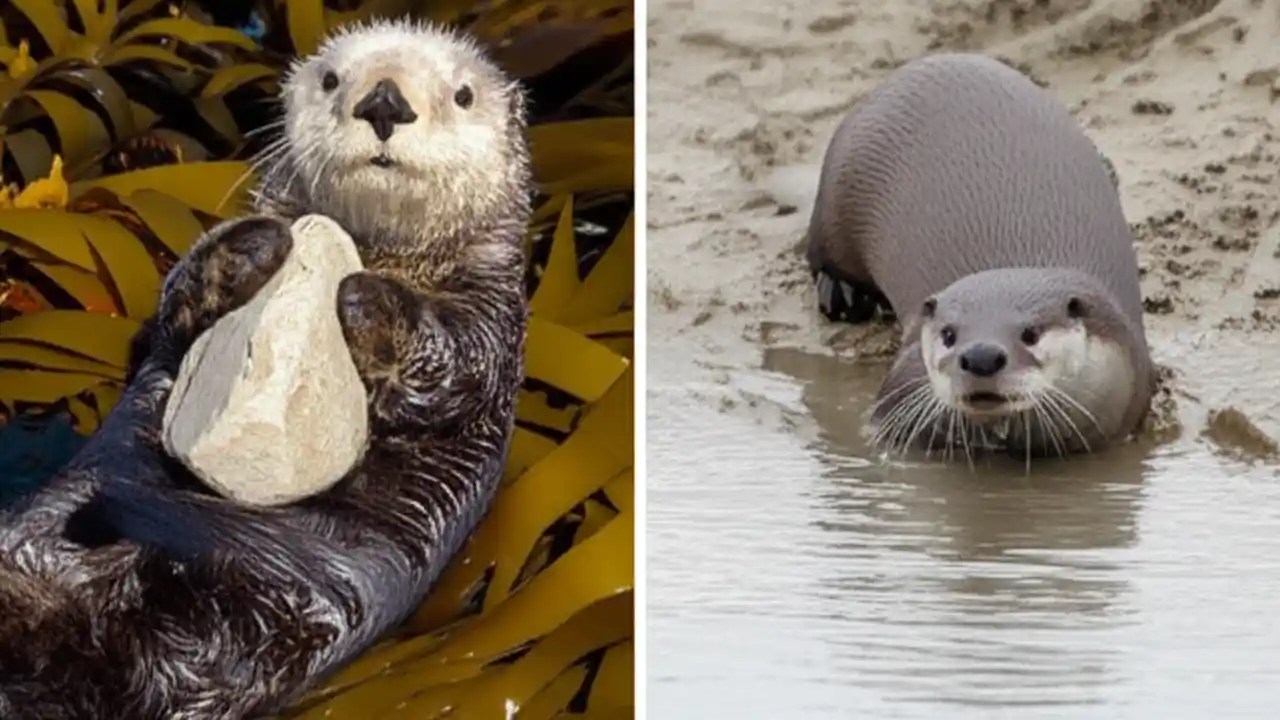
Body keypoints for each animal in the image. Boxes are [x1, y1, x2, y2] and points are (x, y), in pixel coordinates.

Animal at [0, 18, 532, 718]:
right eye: (331, 79)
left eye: (464, 95)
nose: (385, 102)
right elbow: (177, 302)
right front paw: (253, 246)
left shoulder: (493, 318)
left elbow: (454, 369)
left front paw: (366, 298)